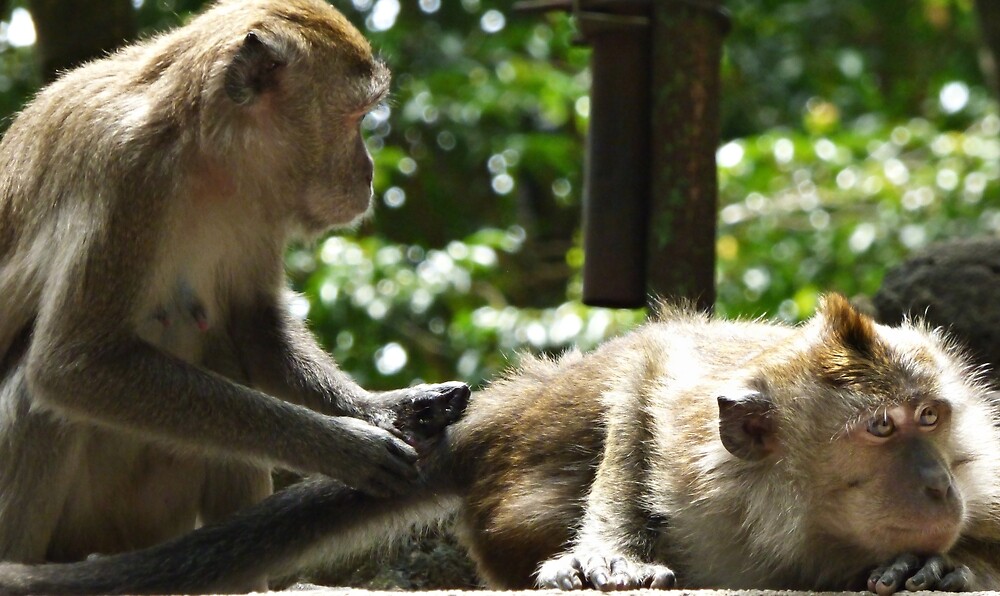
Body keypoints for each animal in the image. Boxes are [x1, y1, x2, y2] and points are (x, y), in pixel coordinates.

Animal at [0, 0, 470, 588]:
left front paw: (391, 410)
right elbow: (72, 365)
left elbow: (252, 327)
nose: (368, 173)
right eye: (356, 117)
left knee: (221, 344)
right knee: (36, 393)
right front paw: (343, 446)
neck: (202, 151)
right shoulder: (124, 172)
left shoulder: (259, 197)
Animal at [2, 293, 998, 594]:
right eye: (880, 429)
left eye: (931, 418)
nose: (935, 488)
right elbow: (651, 363)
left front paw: (934, 567)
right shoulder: (693, 441)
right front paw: (606, 558)